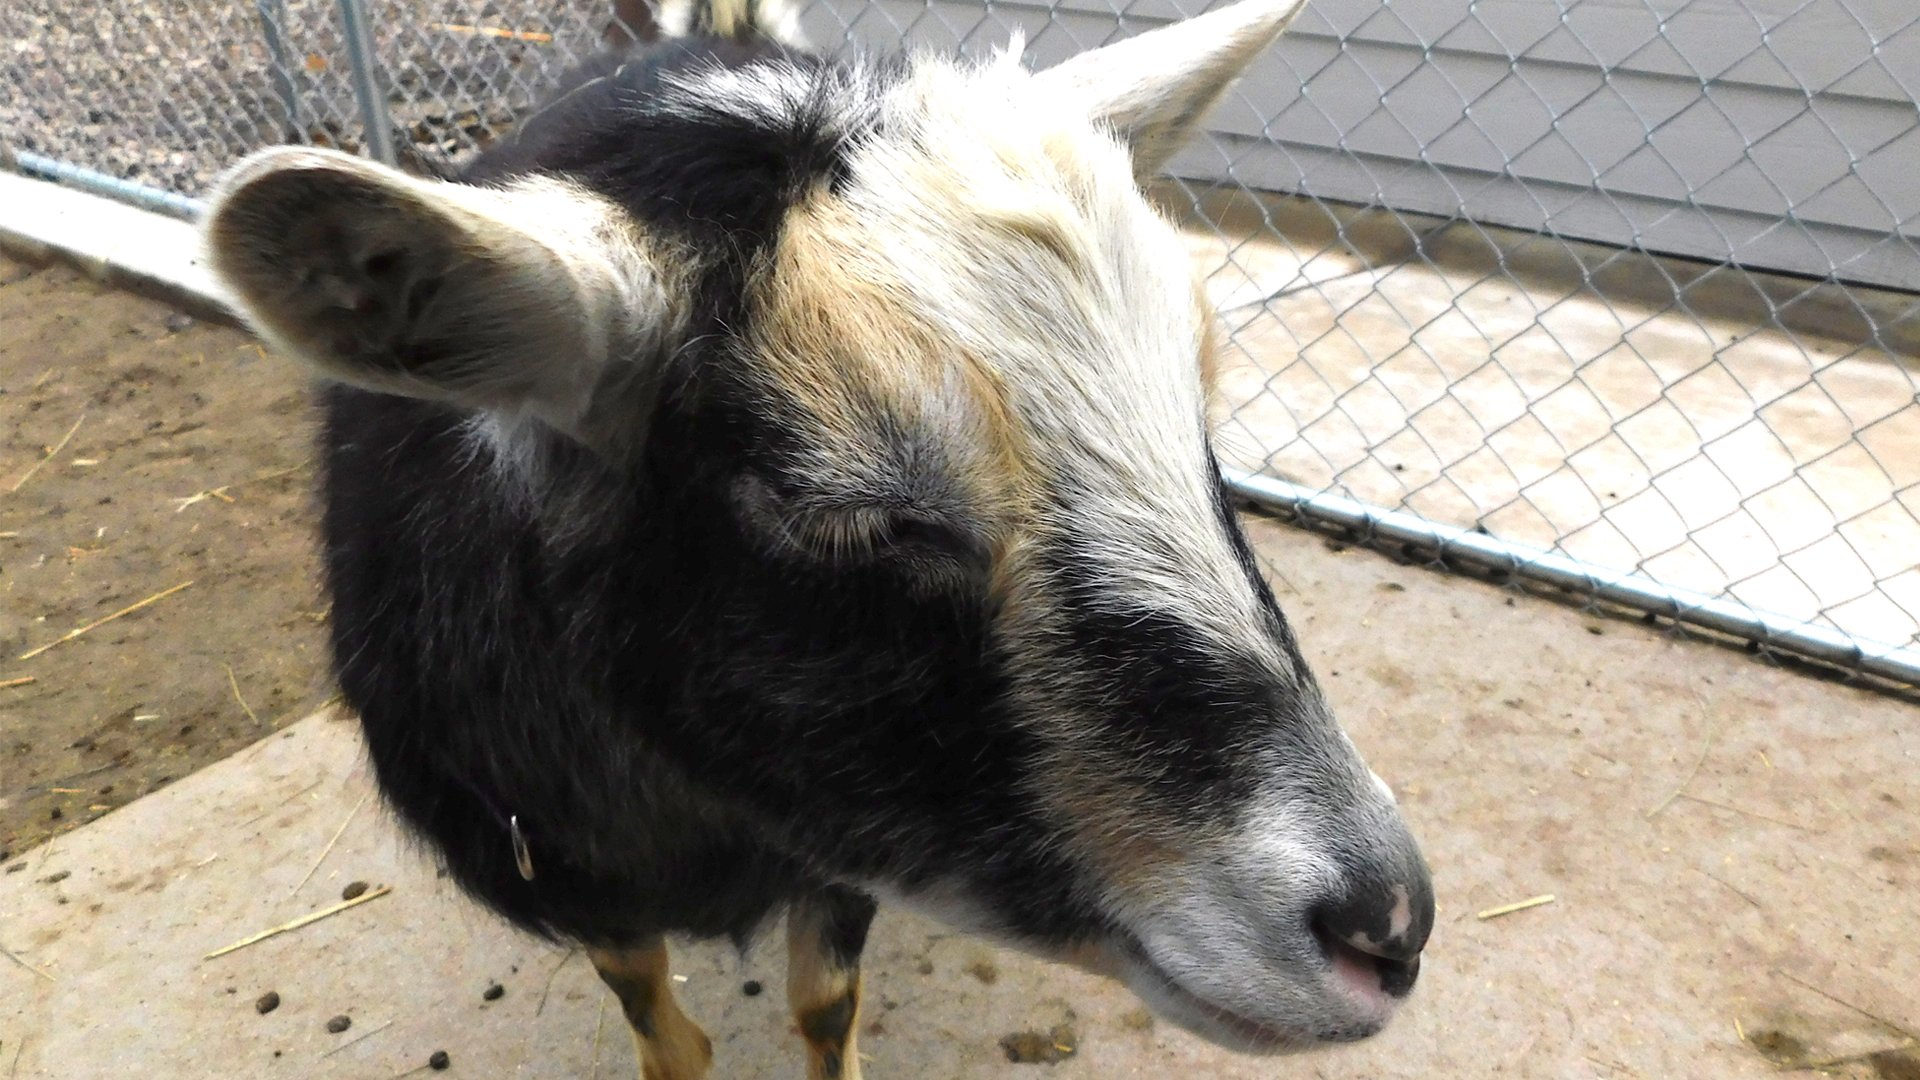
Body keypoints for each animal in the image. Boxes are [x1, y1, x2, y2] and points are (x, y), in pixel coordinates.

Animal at [202, 0, 1434, 1075]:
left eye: (1200, 408)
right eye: (844, 511)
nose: (1388, 927)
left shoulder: (833, 859)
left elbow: (824, 1004)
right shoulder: (565, 862)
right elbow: (660, 1022)